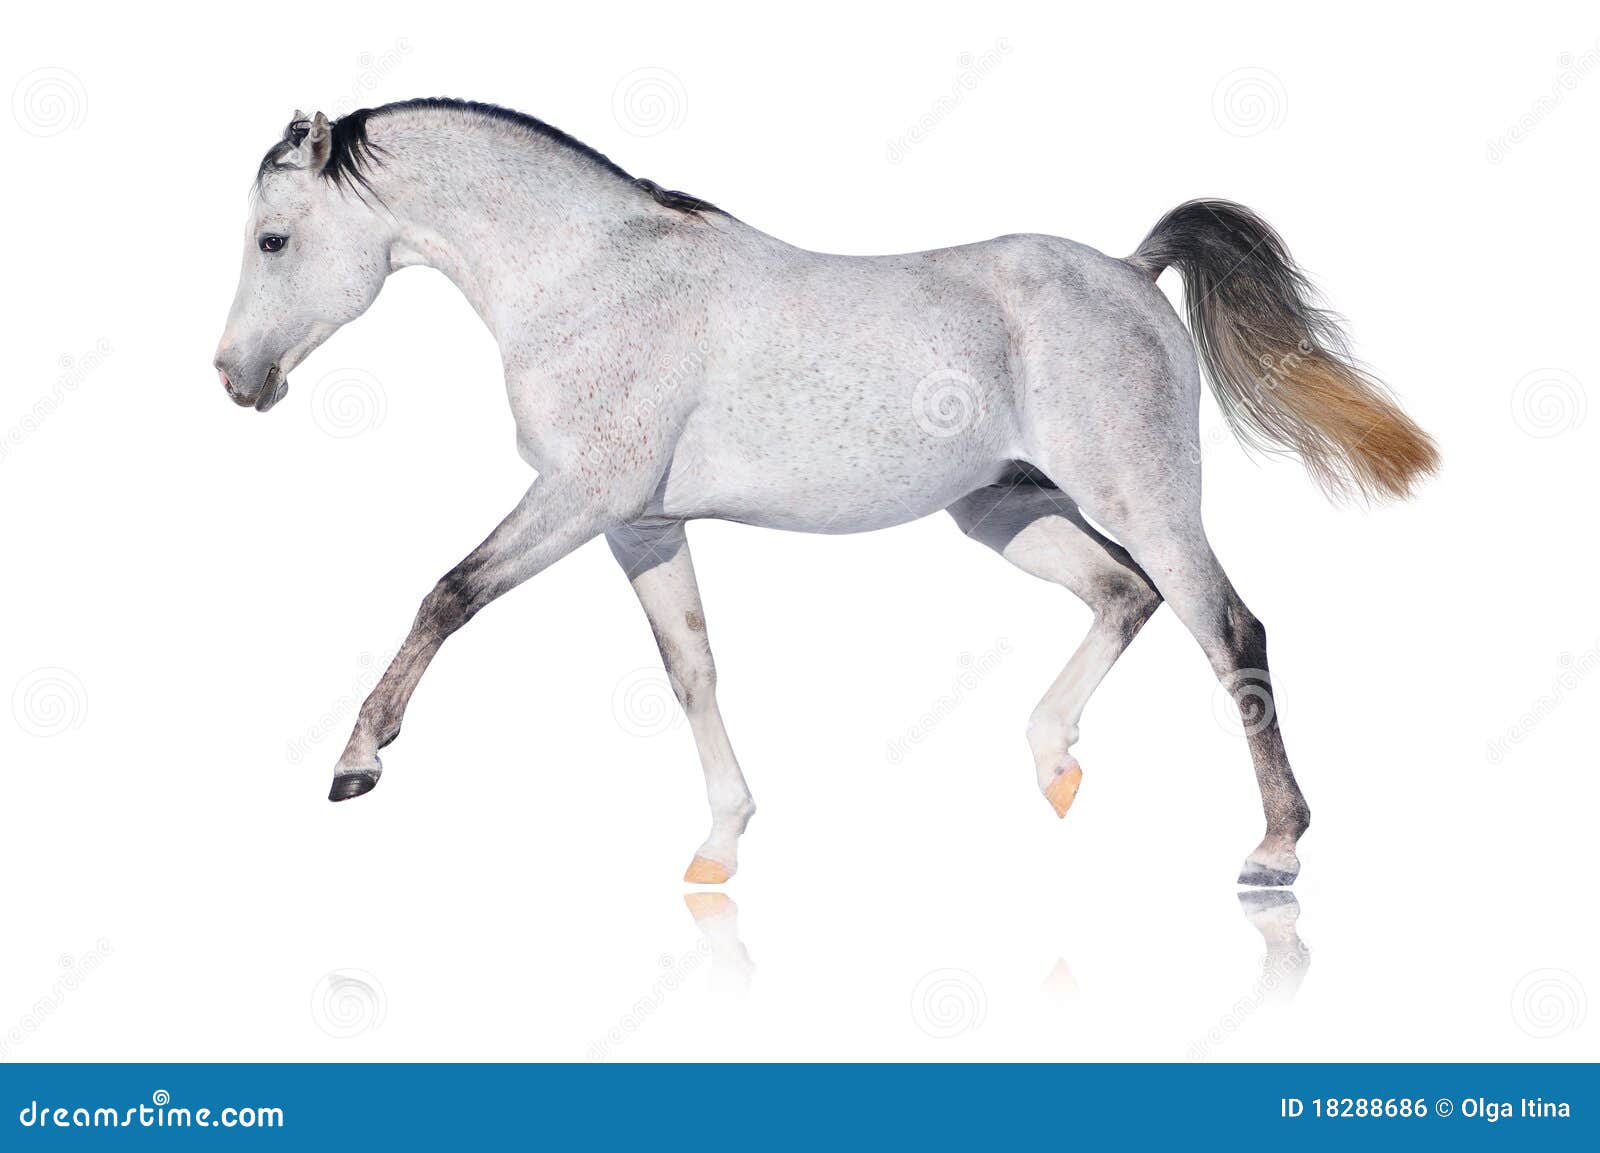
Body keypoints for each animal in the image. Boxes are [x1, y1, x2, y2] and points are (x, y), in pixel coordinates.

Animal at [214, 98, 1437, 888]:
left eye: (273, 238)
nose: (234, 377)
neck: (591, 278)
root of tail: (1134, 274)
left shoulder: (580, 497)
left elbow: (446, 595)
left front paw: (358, 761)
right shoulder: (640, 525)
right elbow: (692, 672)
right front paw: (721, 847)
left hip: (1143, 496)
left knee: (1228, 628)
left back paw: (1274, 850)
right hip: (1006, 508)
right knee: (1123, 596)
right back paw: (1053, 764)